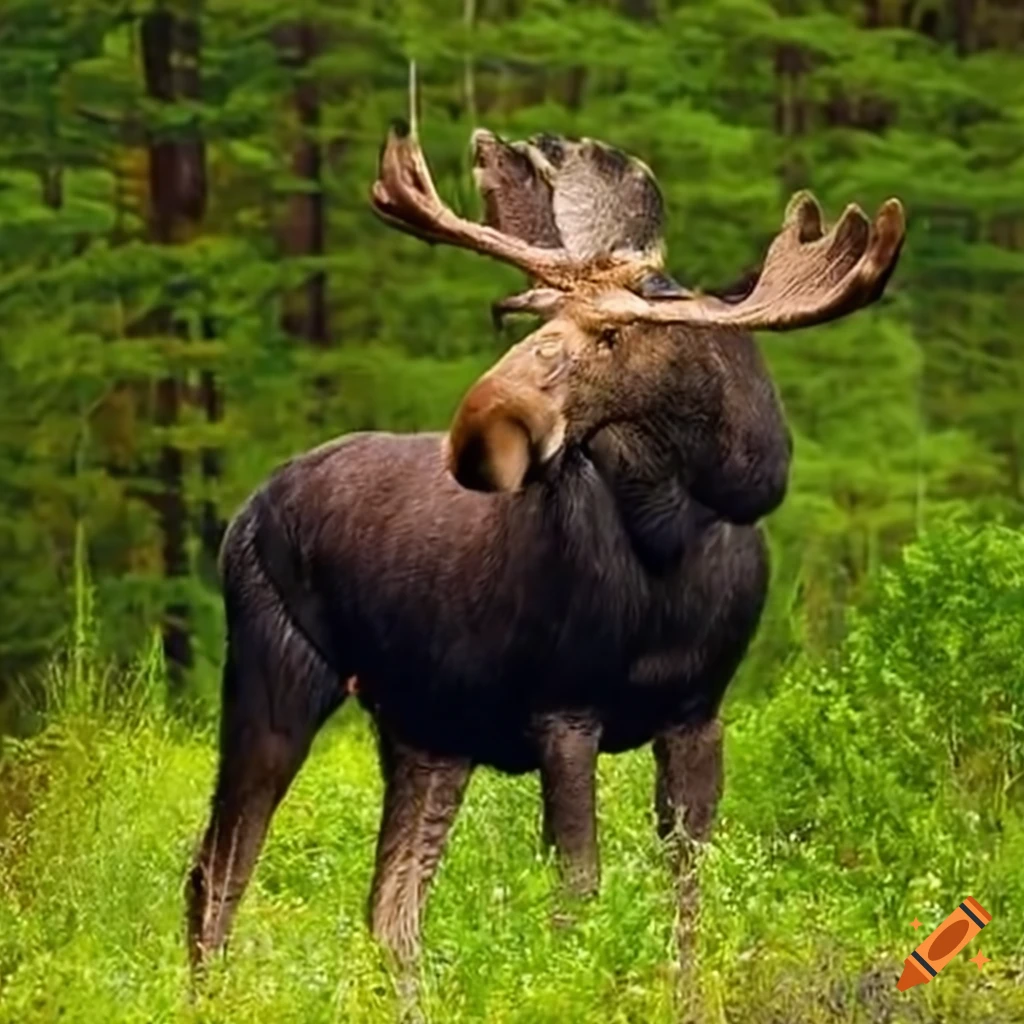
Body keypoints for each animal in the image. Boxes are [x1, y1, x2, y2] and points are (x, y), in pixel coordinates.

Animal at [185, 117, 905, 973]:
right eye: (541, 319)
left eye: (616, 332)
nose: (481, 426)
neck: (669, 534)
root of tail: (246, 512)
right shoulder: (564, 713)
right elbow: (578, 891)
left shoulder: (696, 713)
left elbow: (687, 899)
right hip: (276, 672)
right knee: (219, 870)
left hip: (426, 728)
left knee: (390, 907)